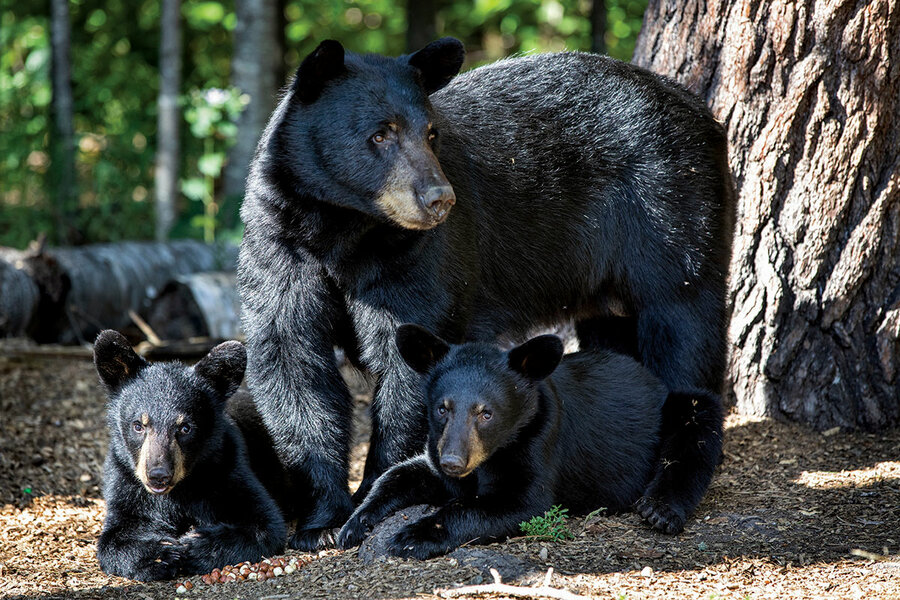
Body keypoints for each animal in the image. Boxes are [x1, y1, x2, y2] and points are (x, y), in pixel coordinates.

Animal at [93, 330, 287, 581]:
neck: (177, 491)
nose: (158, 475)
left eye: (185, 428)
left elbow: (265, 523)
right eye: (138, 425)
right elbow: (113, 537)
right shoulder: (124, 482)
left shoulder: (229, 468)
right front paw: (162, 554)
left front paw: (194, 545)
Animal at [336, 324, 723, 559]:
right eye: (442, 408)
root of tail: (653, 380)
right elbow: (403, 474)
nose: (454, 463)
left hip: (678, 407)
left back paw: (659, 509)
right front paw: (354, 522)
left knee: (698, 424)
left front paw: (412, 535)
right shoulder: (439, 445)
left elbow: (514, 502)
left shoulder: (539, 441)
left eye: (486, 413)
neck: (491, 454)